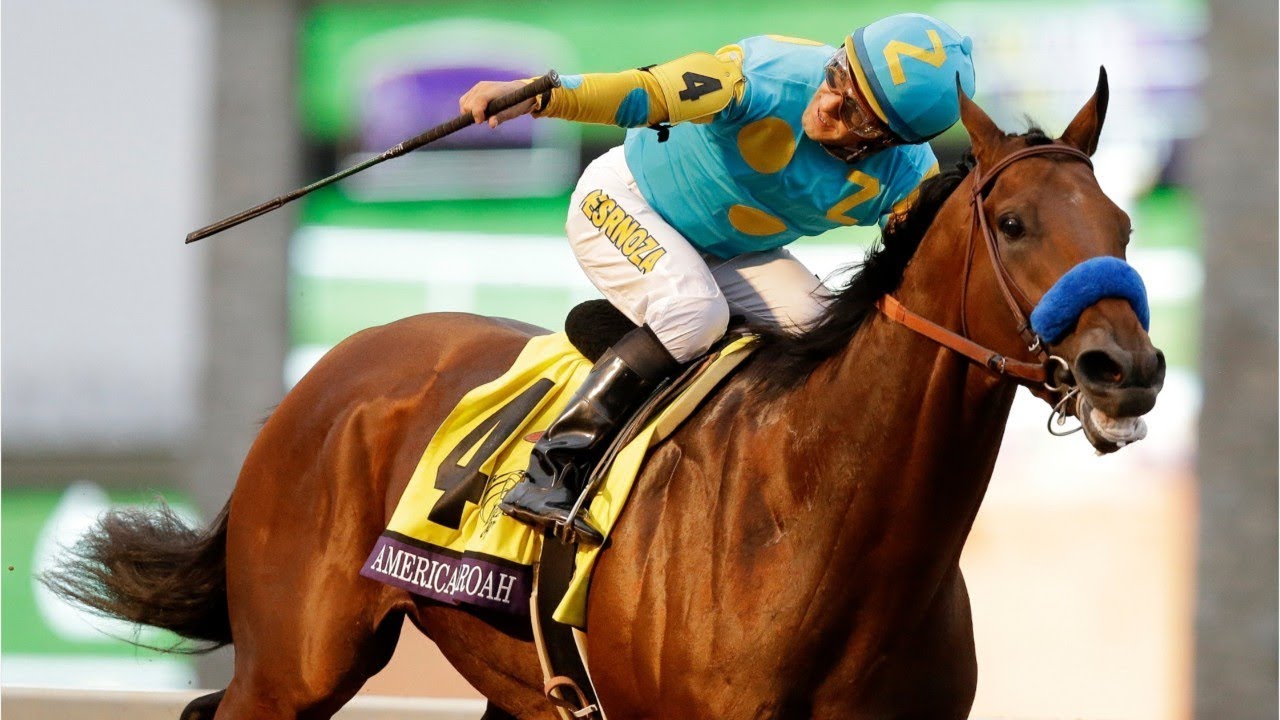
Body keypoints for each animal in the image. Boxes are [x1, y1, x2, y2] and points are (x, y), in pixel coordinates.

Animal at [48, 73, 1164, 719]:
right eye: (1014, 224)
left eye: (1121, 224)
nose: (1128, 369)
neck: (809, 519)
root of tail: (327, 372)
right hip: (294, 666)